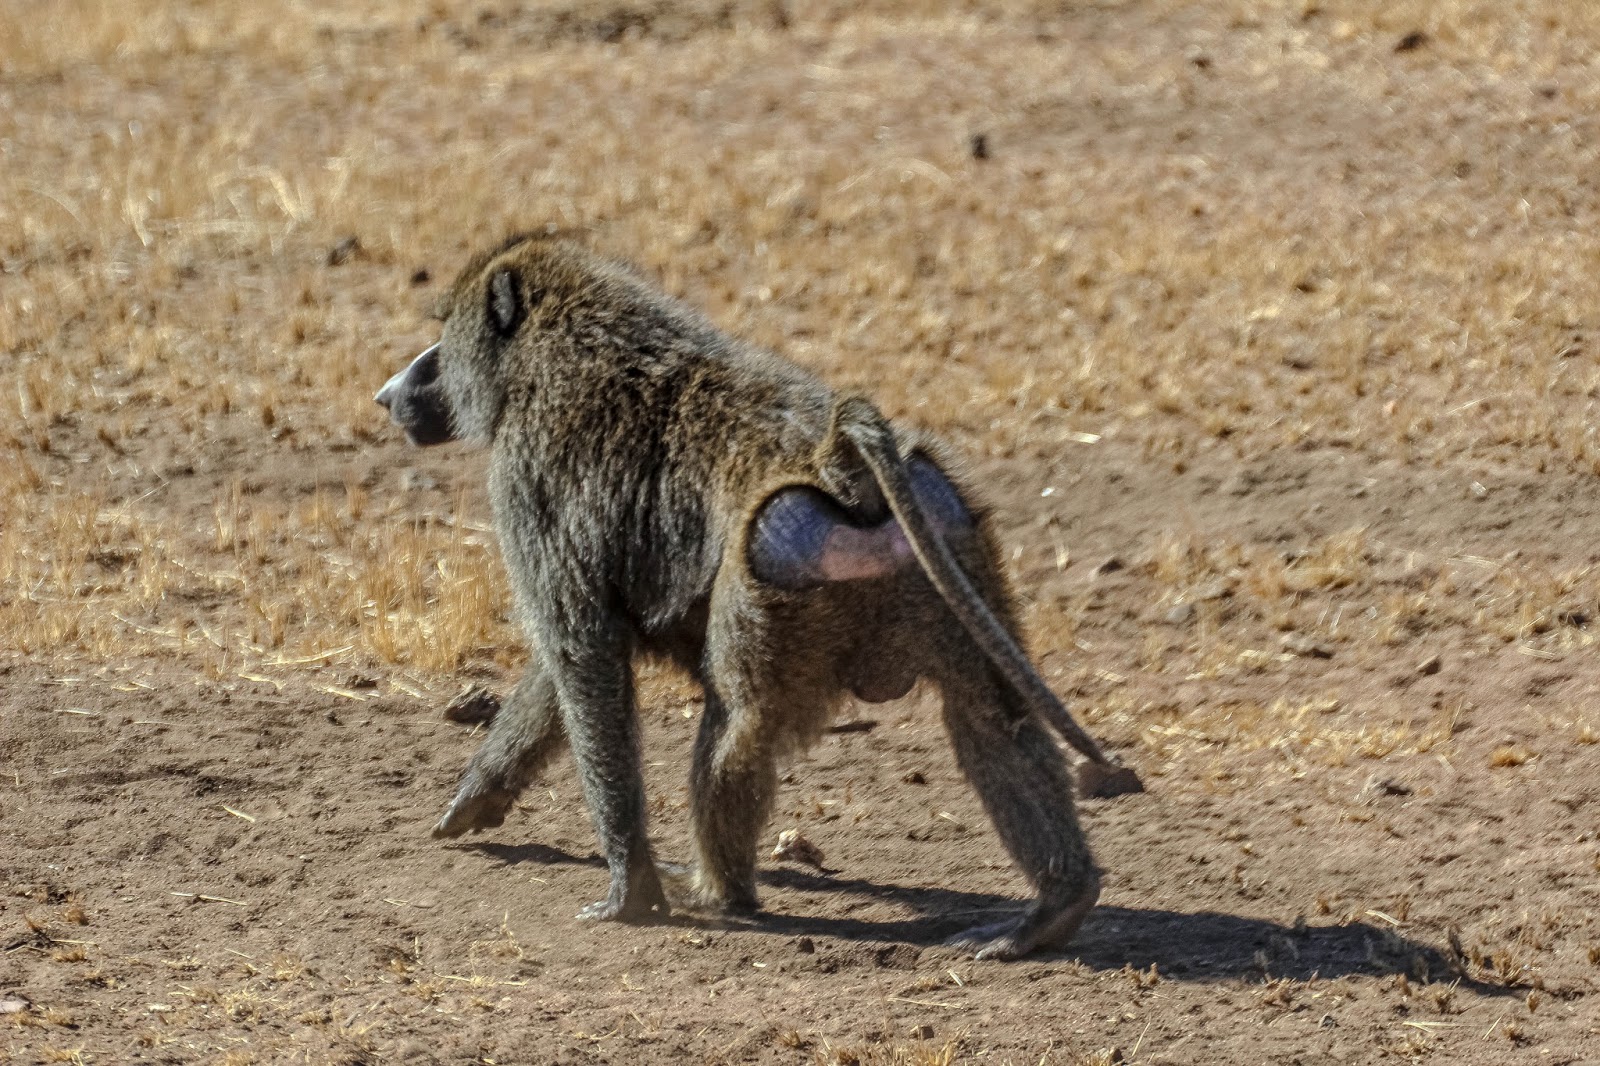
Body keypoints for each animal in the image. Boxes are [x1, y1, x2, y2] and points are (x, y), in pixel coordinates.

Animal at [374, 234, 1140, 958]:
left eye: (445, 331)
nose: (389, 393)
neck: (564, 346)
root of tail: (843, 463)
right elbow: (566, 667)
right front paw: (477, 797)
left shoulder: (524, 473)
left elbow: (581, 653)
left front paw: (629, 889)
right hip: (945, 542)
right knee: (988, 713)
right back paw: (1054, 908)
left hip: (774, 577)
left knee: (736, 724)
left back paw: (717, 893)